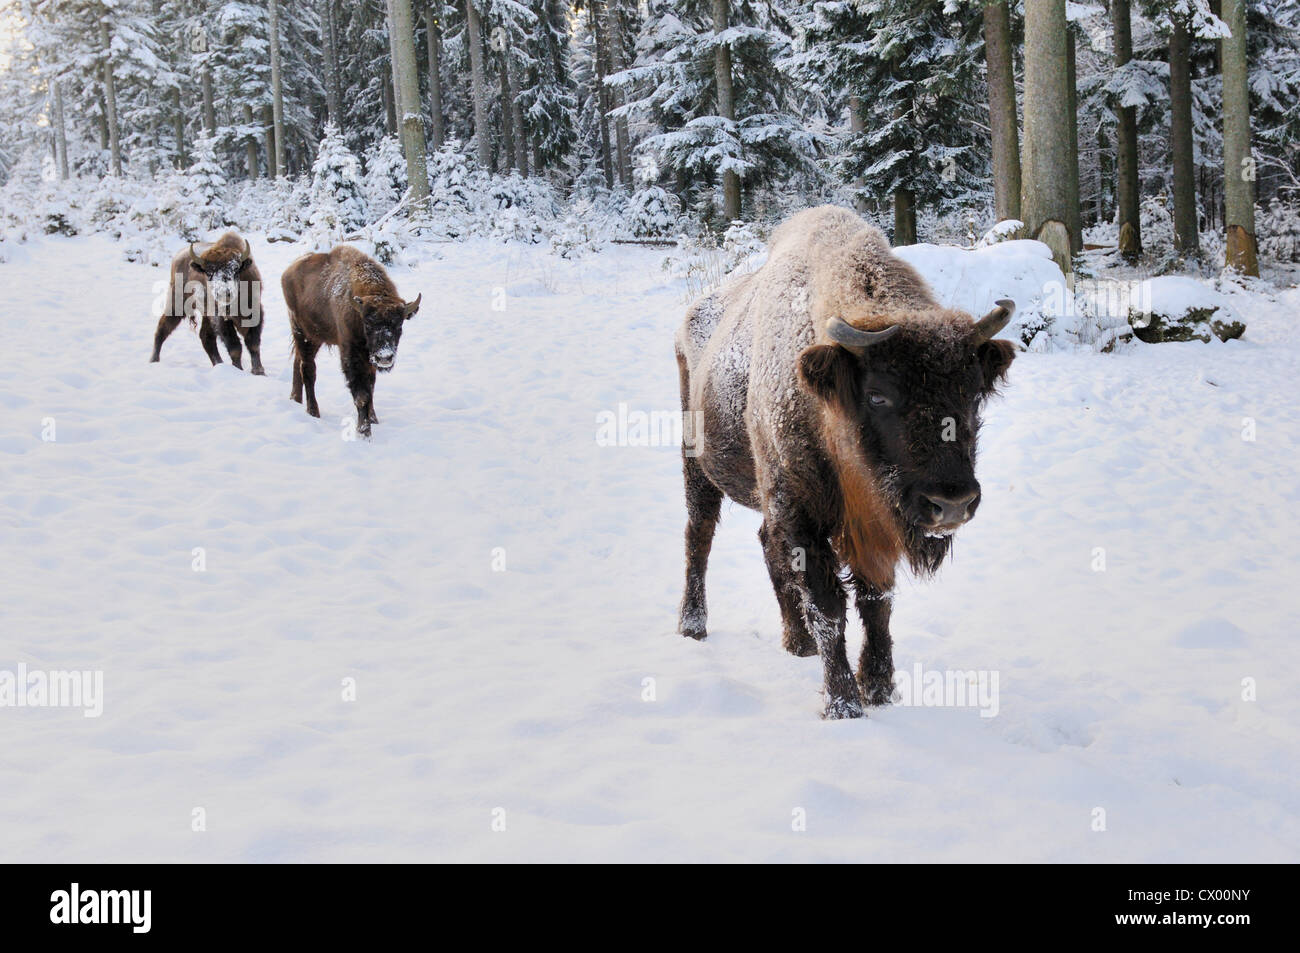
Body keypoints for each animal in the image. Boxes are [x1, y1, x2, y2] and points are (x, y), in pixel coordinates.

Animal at [674, 206, 1016, 719]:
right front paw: (844, 705)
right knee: (700, 536)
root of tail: (691, 317)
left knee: (765, 545)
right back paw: (692, 626)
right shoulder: (803, 516)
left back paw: (797, 644)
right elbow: (829, 606)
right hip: (696, 464)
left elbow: (877, 601)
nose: (951, 504)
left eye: (973, 393)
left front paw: (879, 689)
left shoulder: (872, 526)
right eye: (877, 395)